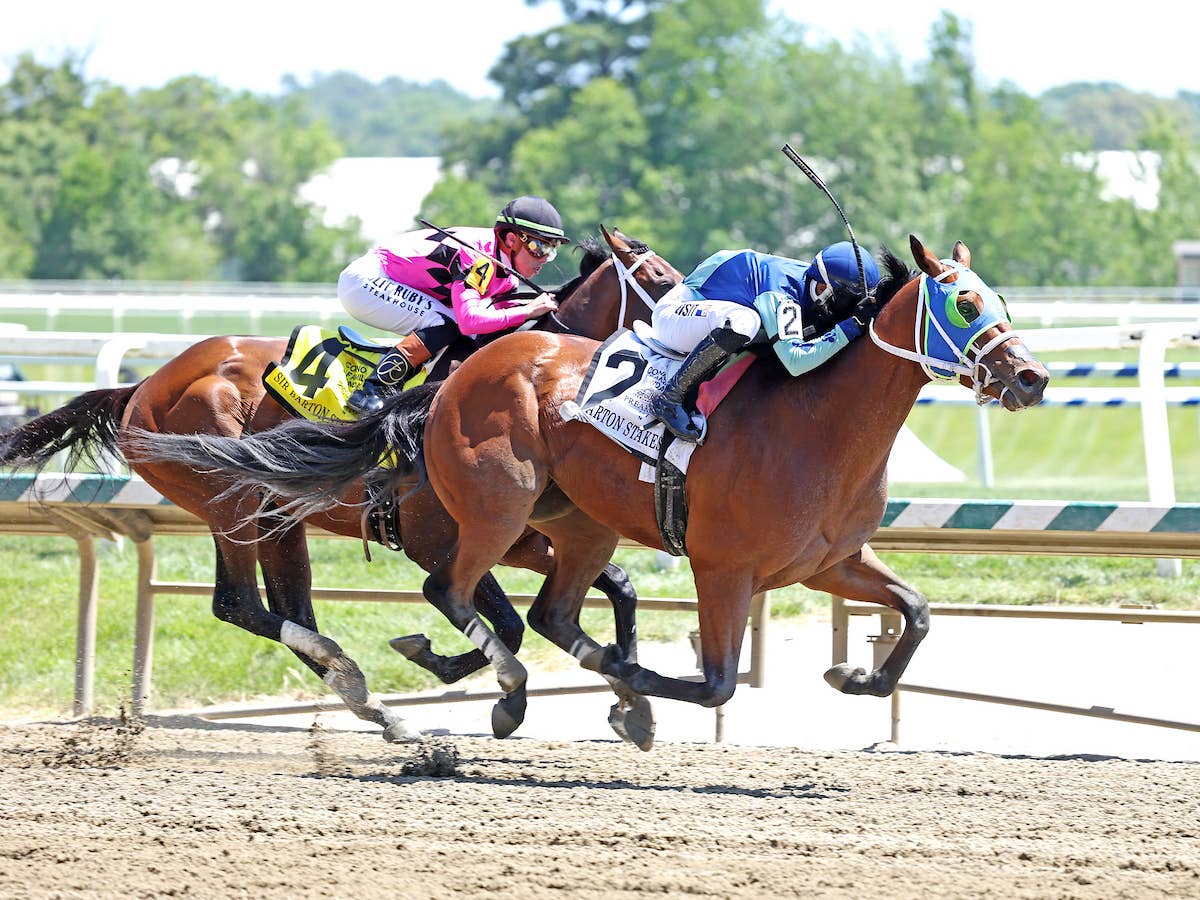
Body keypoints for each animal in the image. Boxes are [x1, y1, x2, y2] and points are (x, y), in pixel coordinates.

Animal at [0, 226, 683, 746]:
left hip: (279, 517)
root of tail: (142, 386)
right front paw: (440, 662)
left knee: (285, 607)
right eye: (658, 277)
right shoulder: (436, 540)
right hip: (231, 502)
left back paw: (374, 706)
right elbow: (505, 621)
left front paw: (628, 701)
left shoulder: (520, 535)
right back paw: (356, 681)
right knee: (237, 605)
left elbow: (615, 585)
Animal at [124, 235, 1048, 746]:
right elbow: (712, 681)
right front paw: (624, 698)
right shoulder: (723, 569)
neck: (816, 421)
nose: (1032, 376)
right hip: (455, 509)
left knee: (542, 613)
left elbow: (917, 613)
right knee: (433, 593)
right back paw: (461, 689)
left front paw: (854, 677)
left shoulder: (831, 560)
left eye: (996, 298)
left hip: (565, 522)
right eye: (965, 305)